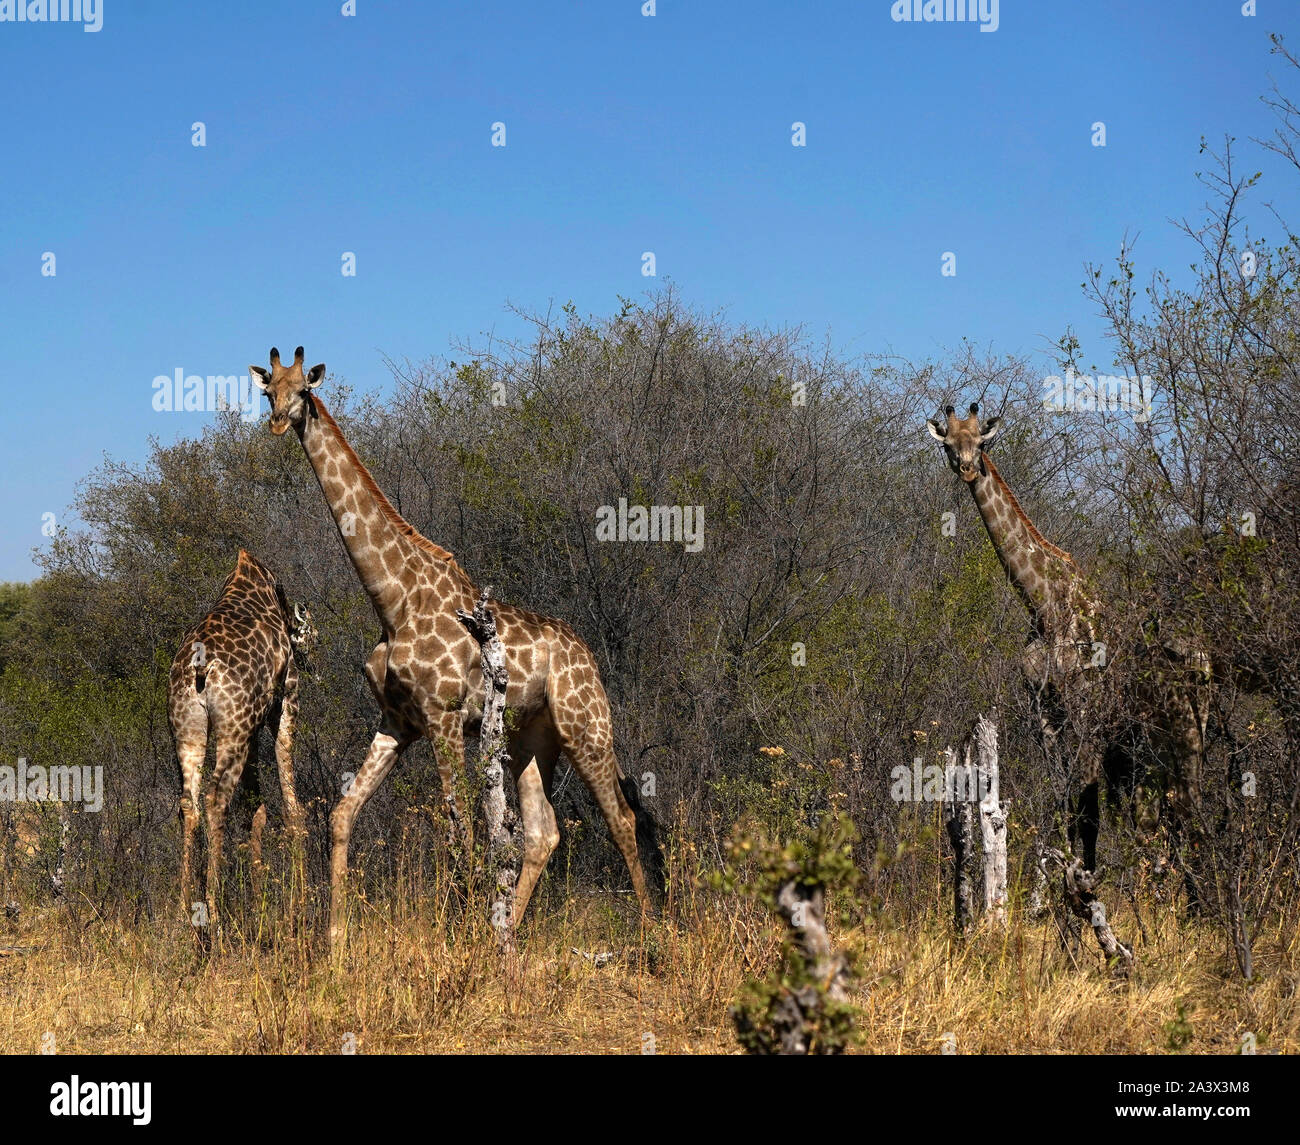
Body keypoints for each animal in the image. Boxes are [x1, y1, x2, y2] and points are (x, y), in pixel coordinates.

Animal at [168, 548, 314, 933]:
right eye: (310, 634)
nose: (312, 654)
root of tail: (200, 668)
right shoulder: (286, 698)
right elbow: (291, 803)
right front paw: (298, 905)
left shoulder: (252, 724)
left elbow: (256, 808)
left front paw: (257, 900)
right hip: (233, 727)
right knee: (216, 797)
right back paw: (214, 911)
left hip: (189, 727)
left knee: (189, 801)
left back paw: (183, 909)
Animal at [248, 346, 656, 950]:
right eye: (266, 390)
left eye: (303, 390)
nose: (278, 422)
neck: (394, 601)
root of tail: (589, 658)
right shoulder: (399, 720)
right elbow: (342, 815)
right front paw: (336, 940)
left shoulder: (442, 718)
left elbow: (457, 827)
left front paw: (462, 938)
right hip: (531, 737)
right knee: (543, 832)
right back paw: (509, 930)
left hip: (586, 726)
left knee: (621, 819)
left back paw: (652, 933)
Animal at [926, 403, 1211, 874]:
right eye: (949, 443)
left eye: (981, 442)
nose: (967, 468)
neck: (1044, 607)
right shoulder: (1044, 710)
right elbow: (1064, 802)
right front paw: (1058, 868)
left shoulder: (1086, 713)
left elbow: (1089, 811)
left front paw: (1086, 881)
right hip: (1145, 747)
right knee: (1165, 819)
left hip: (1187, 734)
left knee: (1190, 814)